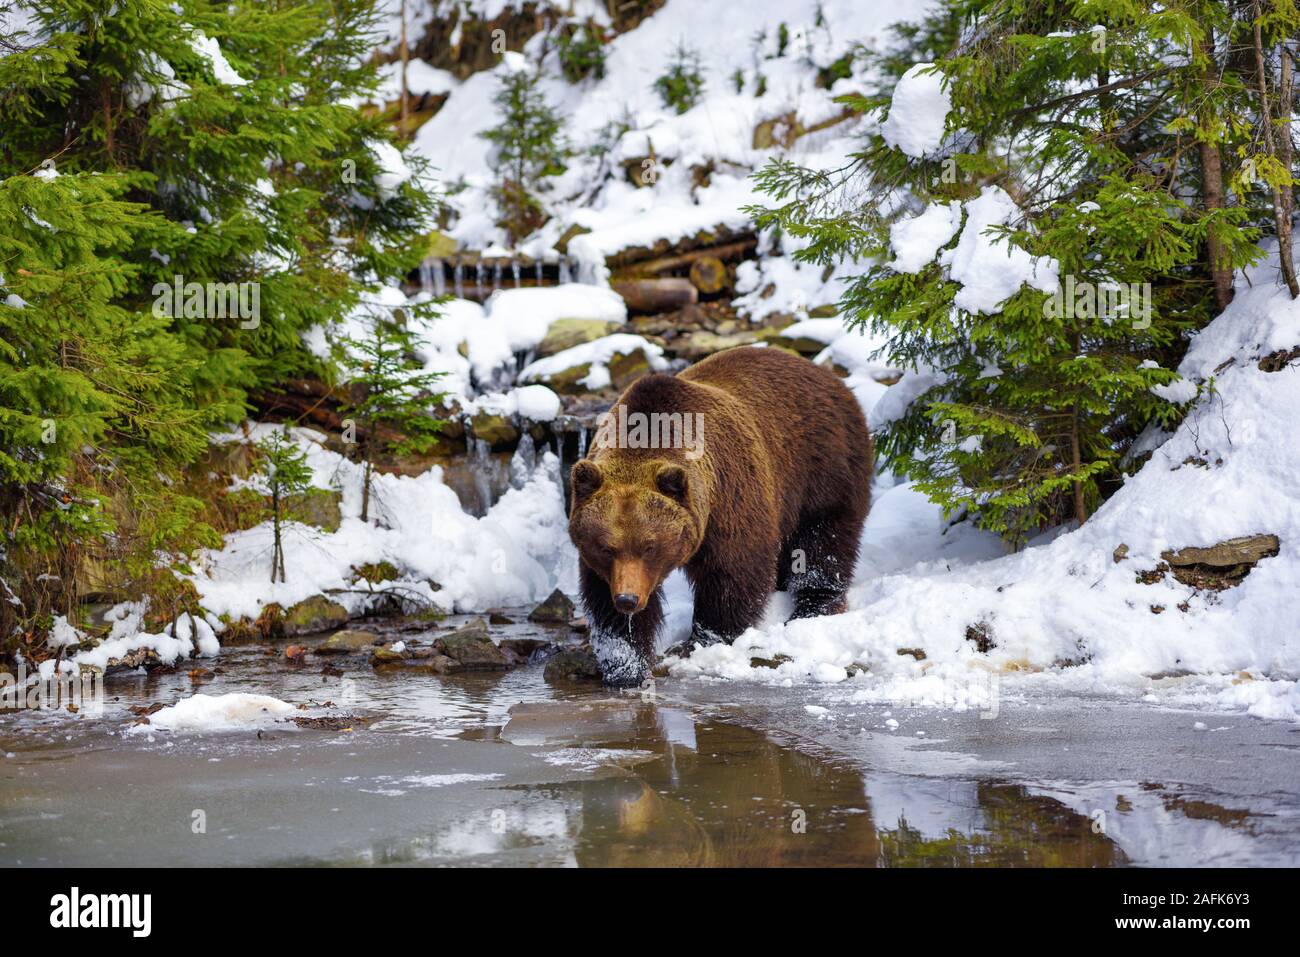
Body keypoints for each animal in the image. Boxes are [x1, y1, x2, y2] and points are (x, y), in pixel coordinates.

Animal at [568, 345, 873, 686]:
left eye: (649, 545)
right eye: (606, 547)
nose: (628, 599)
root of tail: (828, 376)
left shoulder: (730, 500)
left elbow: (732, 575)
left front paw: (702, 641)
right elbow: (605, 602)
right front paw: (626, 666)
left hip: (822, 466)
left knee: (823, 542)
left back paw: (814, 605)